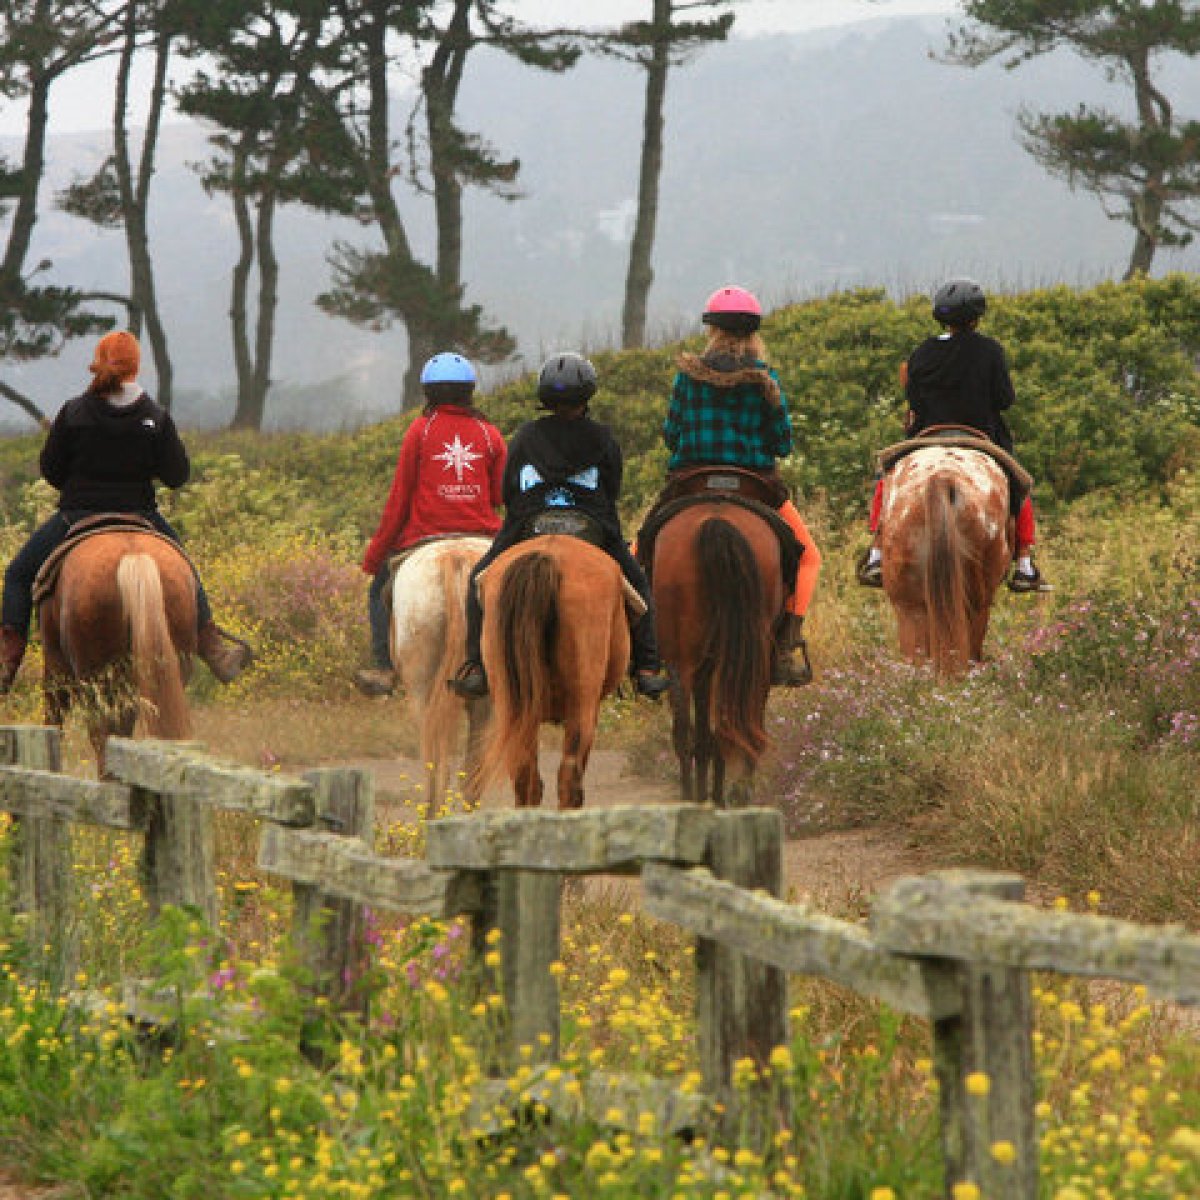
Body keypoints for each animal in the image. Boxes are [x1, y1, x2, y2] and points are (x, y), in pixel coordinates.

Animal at [651, 503, 783, 807]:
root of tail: (717, 520)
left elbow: (700, 733)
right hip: (752, 657)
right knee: (737, 723)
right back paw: (736, 795)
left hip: (682, 657)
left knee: (685, 729)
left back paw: (691, 798)